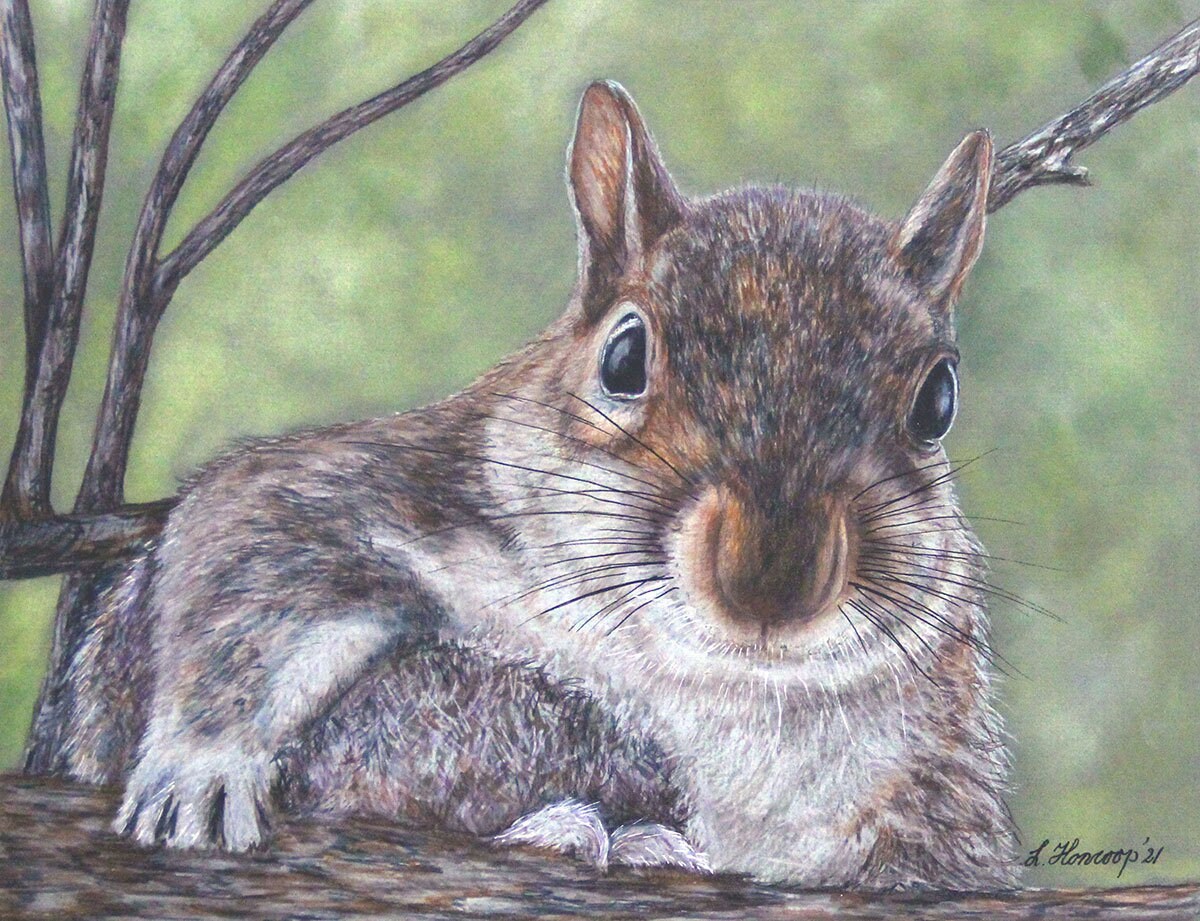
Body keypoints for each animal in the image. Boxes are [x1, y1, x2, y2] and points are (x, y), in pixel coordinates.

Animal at [53, 80, 1017, 890]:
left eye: (939, 399)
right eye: (624, 355)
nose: (770, 580)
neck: (718, 681)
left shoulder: (933, 775)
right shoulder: (396, 484)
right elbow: (247, 551)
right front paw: (202, 769)